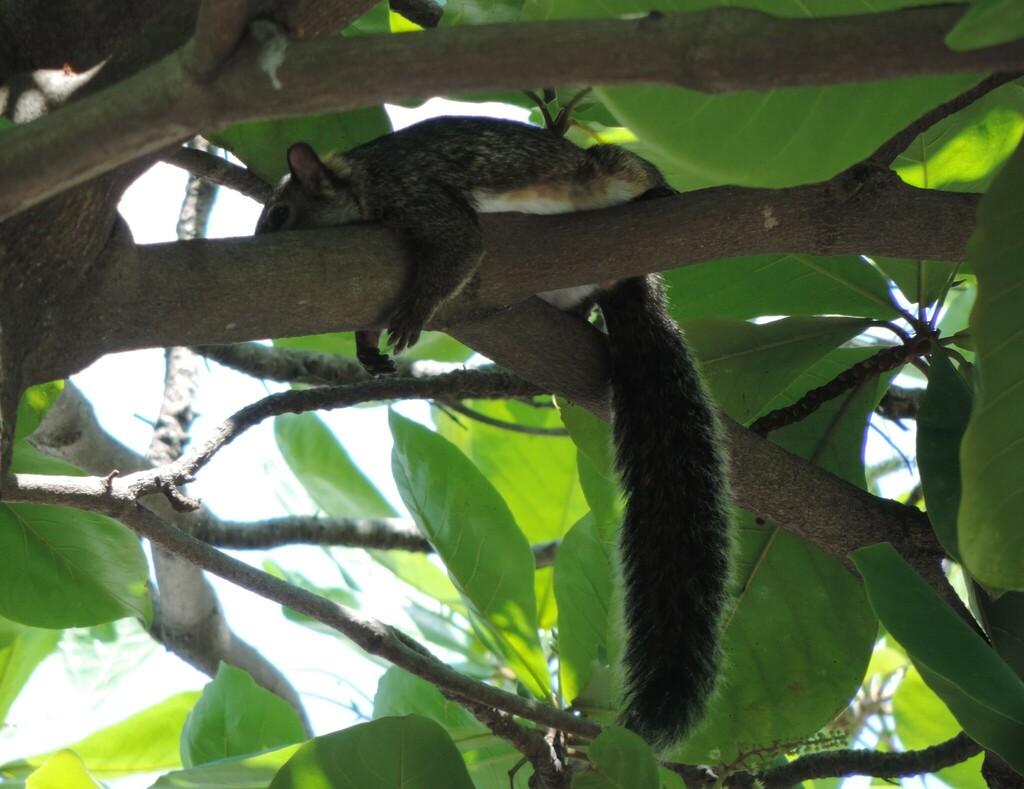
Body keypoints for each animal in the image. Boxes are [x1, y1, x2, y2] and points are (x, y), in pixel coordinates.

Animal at [256, 116, 732, 750]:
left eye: (281, 214)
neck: (362, 178)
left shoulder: (419, 195)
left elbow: (460, 247)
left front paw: (415, 310)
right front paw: (367, 346)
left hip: (600, 169)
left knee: (627, 170)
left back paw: (658, 192)